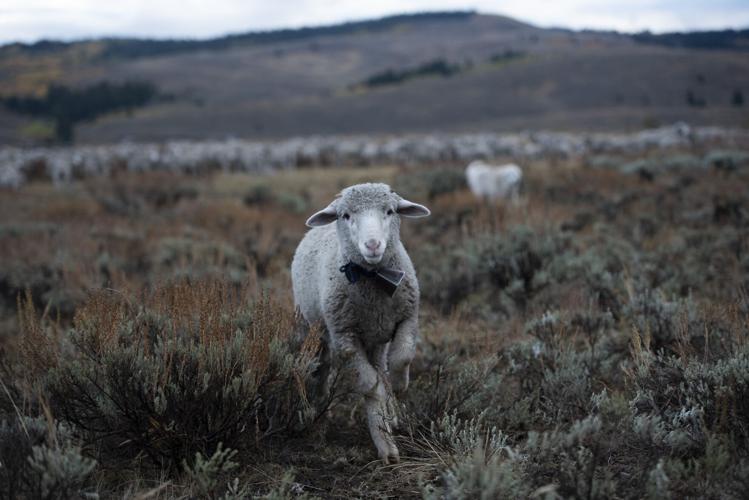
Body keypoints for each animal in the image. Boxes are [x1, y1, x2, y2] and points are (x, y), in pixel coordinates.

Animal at [291, 183, 430, 463]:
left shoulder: (408, 318)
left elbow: (402, 358)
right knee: (321, 366)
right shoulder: (345, 339)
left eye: (389, 211)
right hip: (313, 328)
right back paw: (318, 409)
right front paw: (386, 445)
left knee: (380, 365)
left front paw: (397, 390)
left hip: (376, 337)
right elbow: (370, 385)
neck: (375, 278)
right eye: (346, 216)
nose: (373, 244)